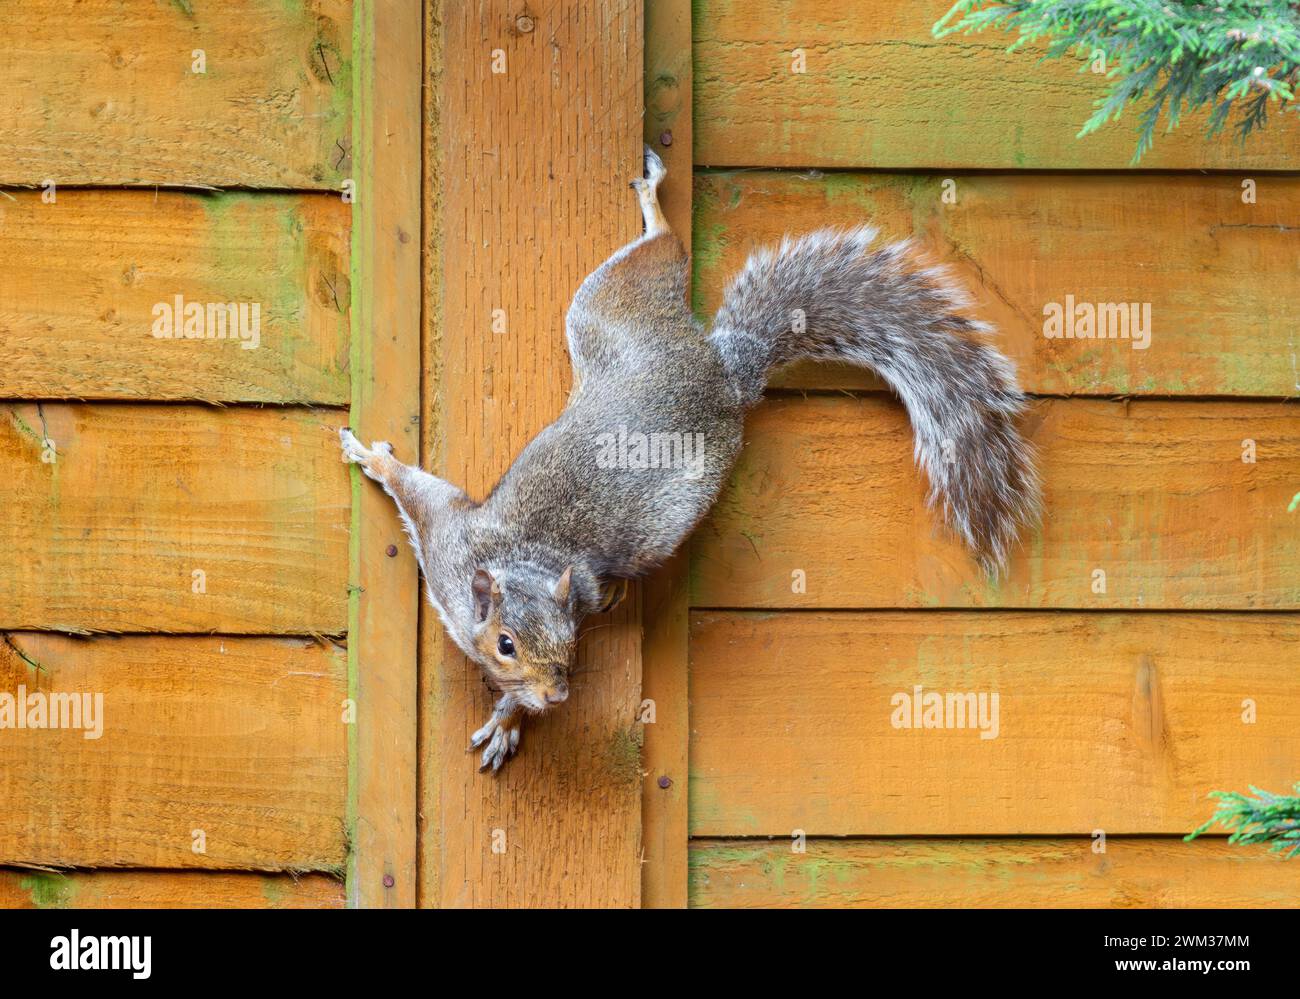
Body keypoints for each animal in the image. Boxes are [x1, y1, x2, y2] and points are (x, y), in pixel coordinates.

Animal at [340, 146, 1039, 773]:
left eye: (570, 638)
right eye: (506, 644)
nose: (559, 694)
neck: (516, 562)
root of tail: (724, 371)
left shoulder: (503, 557)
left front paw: (512, 718)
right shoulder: (450, 542)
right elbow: (421, 493)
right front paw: (373, 457)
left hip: (617, 336)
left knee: (663, 248)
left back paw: (653, 201)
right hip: (612, 318)